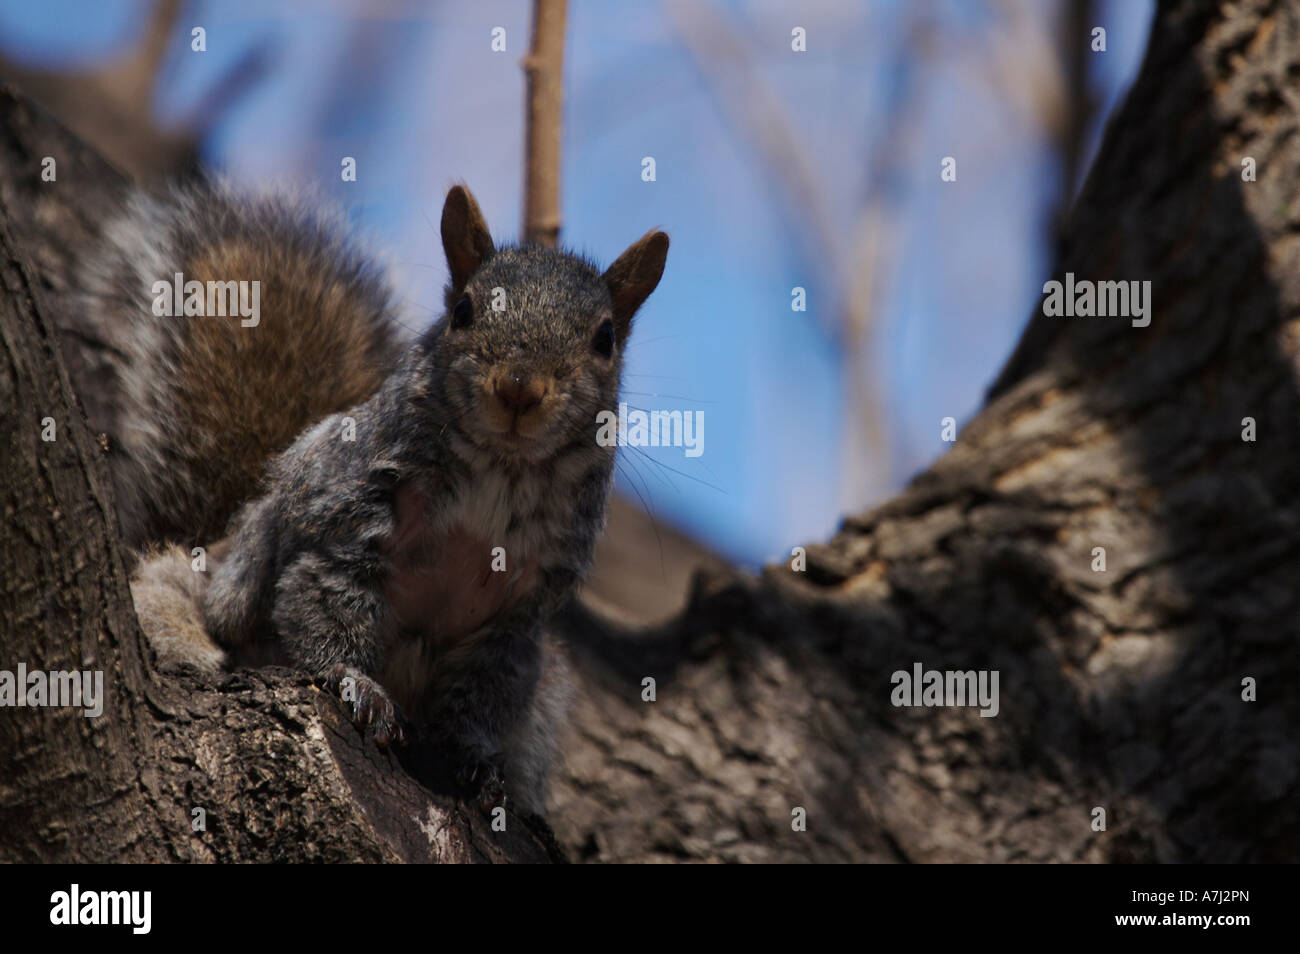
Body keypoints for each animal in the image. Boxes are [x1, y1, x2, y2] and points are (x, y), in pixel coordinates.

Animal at [92, 178, 669, 816]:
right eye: (463, 311)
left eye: (605, 338)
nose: (519, 388)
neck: (502, 471)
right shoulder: (348, 524)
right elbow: (324, 608)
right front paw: (360, 686)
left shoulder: (518, 614)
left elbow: (487, 692)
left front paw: (476, 757)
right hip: (226, 583)